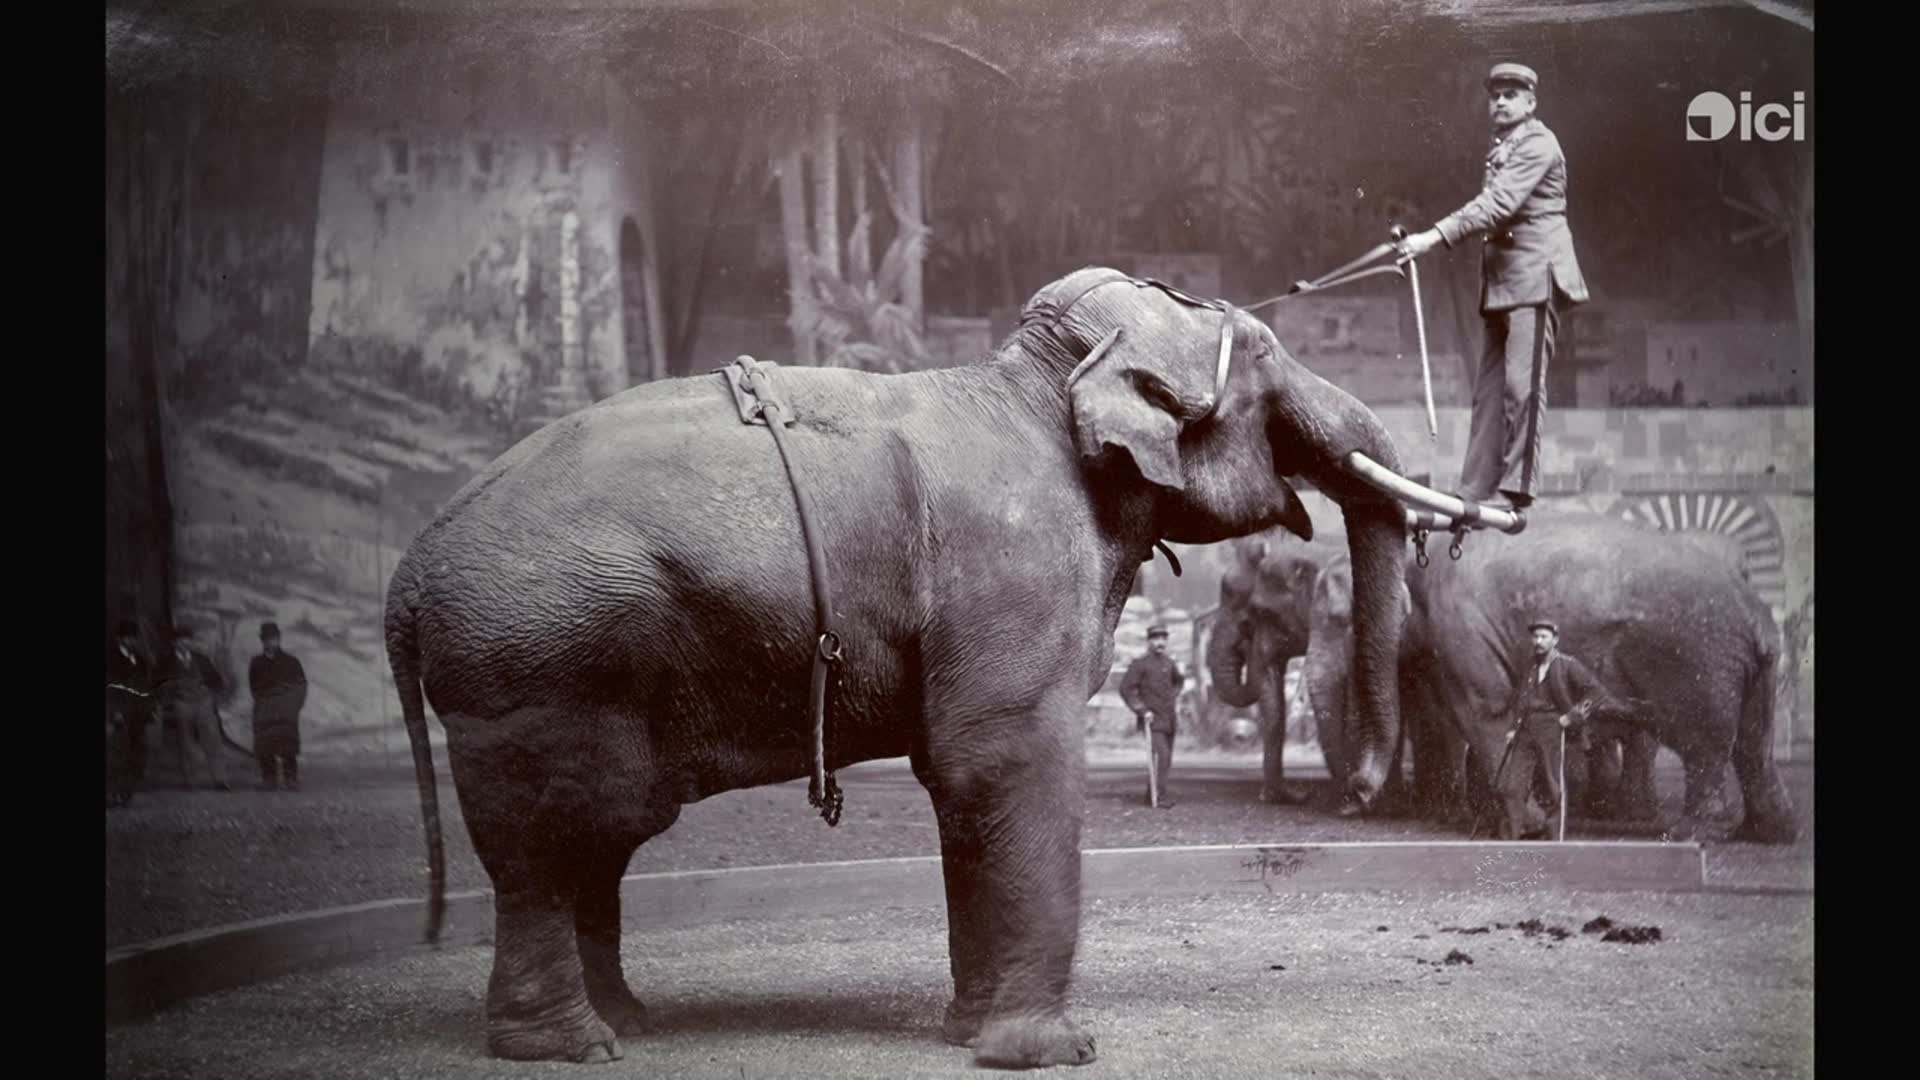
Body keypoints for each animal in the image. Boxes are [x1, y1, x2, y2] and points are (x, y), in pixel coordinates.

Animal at [1304, 511, 1798, 844]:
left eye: (1342, 621)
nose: (1356, 794)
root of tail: (1756, 616)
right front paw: (1499, 822)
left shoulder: (1463, 626)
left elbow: (1487, 711)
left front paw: (1530, 825)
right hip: (1755, 669)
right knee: (1754, 742)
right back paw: (1770, 832)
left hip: (1698, 665)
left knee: (1707, 744)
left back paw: (1689, 833)